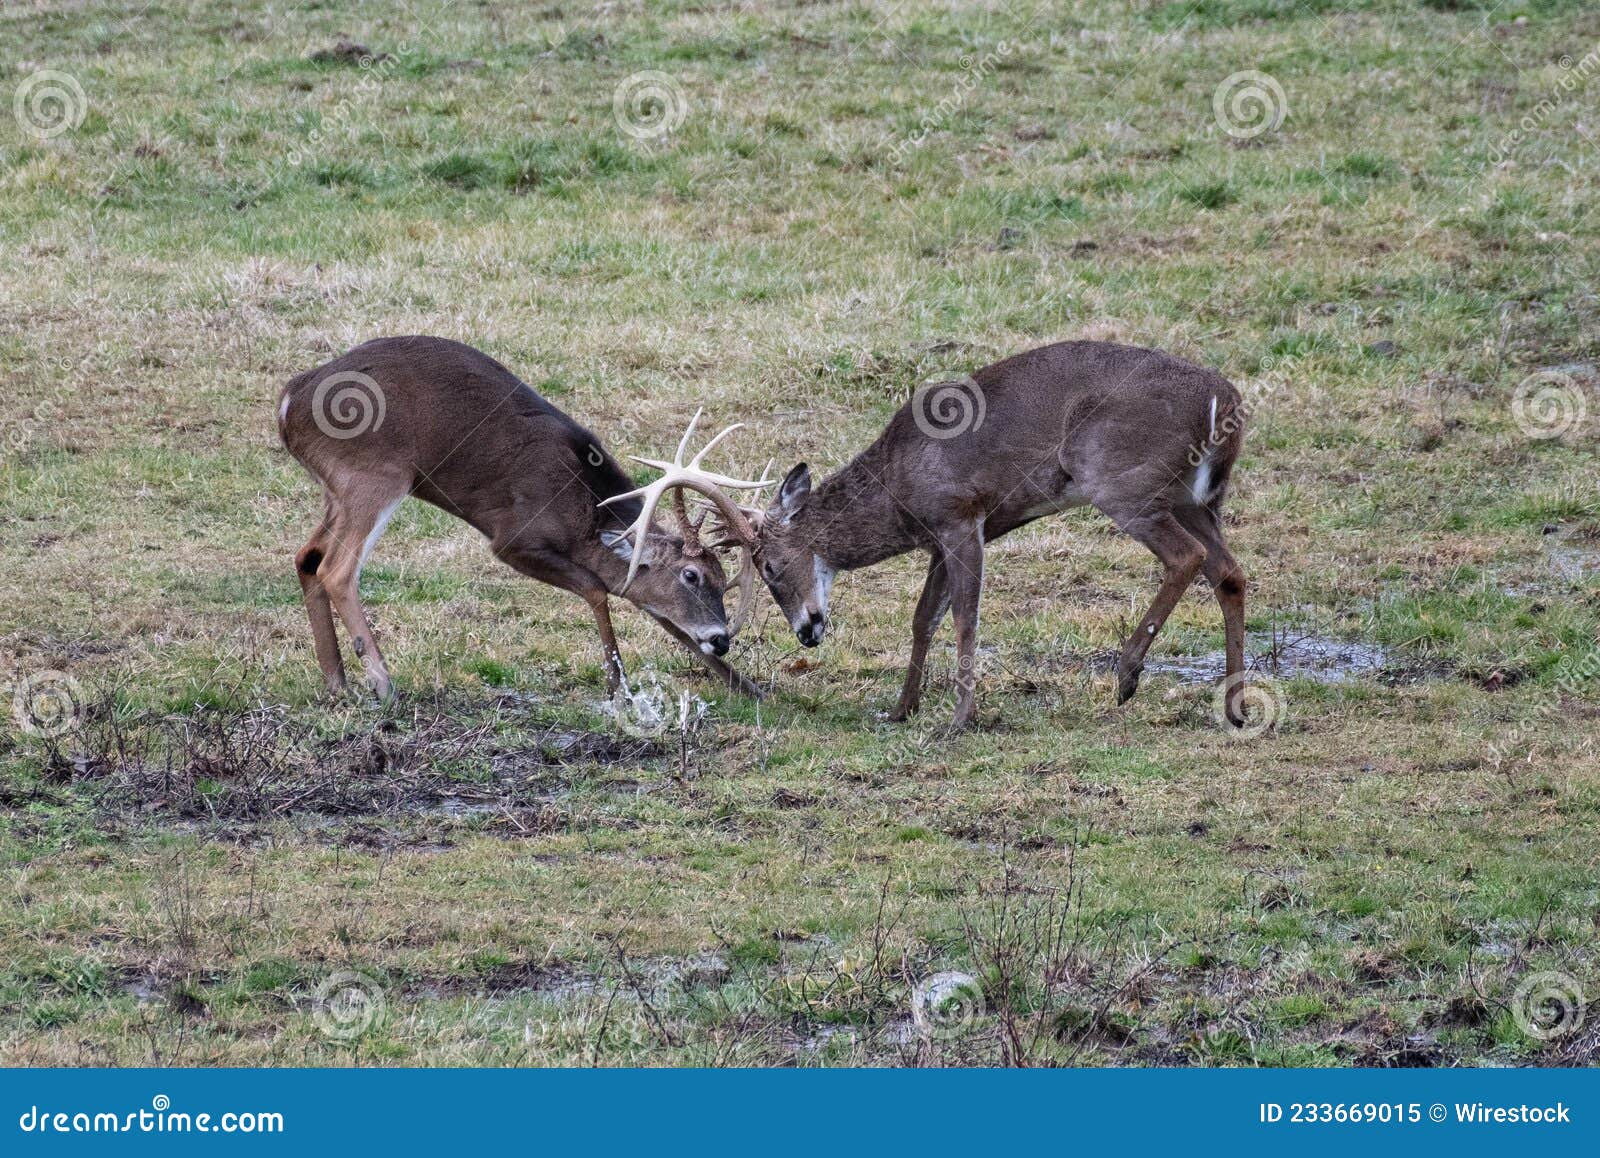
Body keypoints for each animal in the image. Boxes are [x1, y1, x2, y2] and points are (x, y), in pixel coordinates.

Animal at [277, 336, 770, 702]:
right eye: (691, 575)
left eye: (722, 577)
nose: (722, 638)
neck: (581, 508)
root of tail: (289, 401)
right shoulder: (515, 537)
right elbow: (597, 587)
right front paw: (619, 687)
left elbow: (657, 611)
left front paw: (752, 689)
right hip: (375, 474)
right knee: (336, 568)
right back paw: (382, 683)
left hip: (338, 488)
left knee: (307, 556)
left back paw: (336, 681)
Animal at [738, 340, 1249, 731]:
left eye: (770, 566)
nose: (805, 632)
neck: (896, 486)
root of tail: (1224, 400)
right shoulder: (939, 538)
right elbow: (923, 619)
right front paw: (901, 710)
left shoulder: (960, 516)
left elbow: (965, 617)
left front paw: (959, 719)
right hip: (1195, 500)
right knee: (1229, 571)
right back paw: (1234, 707)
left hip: (1123, 481)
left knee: (1187, 556)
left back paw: (1127, 676)